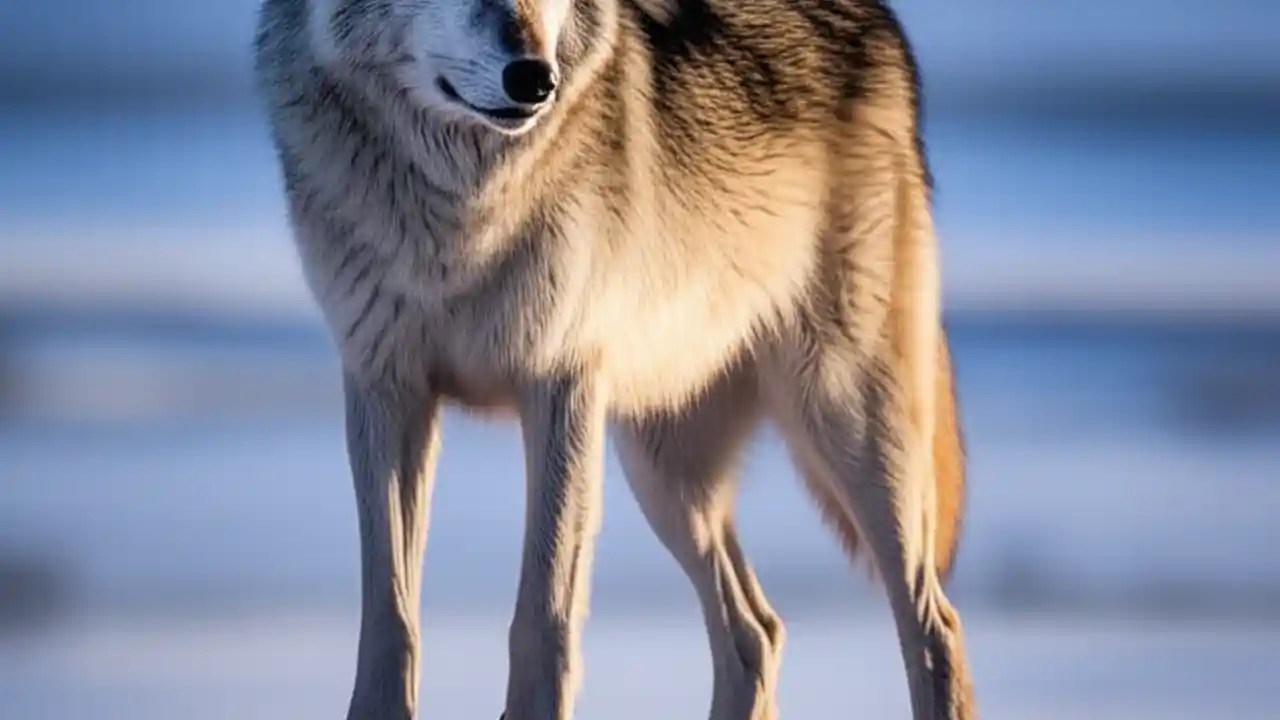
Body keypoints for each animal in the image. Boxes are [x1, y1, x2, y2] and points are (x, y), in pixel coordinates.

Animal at [255, 0, 974, 718]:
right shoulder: (384, 385)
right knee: (756, 632)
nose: (534, 80)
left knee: (933, 625)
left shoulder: (560, 385)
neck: (461, 223)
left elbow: (543, 619)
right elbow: (390, 620)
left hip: (844, 425)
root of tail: (885, 21)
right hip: (667, 476)